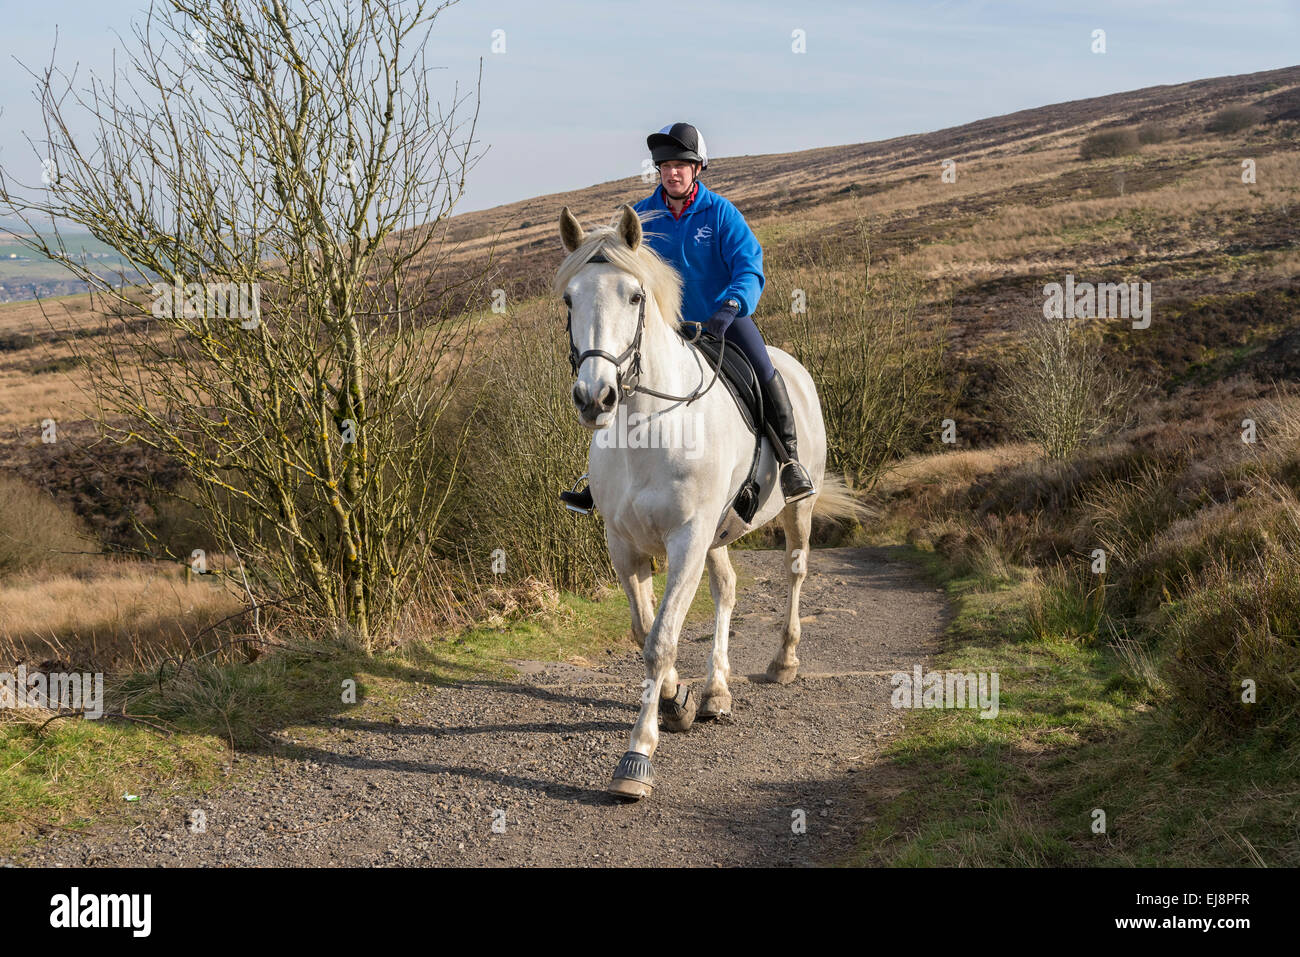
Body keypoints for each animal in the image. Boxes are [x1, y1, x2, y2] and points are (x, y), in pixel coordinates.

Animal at [555, 204, 858, 800]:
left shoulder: (687, 539)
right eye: (570, 299)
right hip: (718, 534)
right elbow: (642, 630)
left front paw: (637, 757)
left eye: (634, 296)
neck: (646, 428)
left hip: (794, 509)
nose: (595, 398)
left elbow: (662, 638)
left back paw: (783, 660)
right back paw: (717, 691)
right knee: (727, 589)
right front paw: (678, 702)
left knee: (794, 571)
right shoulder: (625, 545)